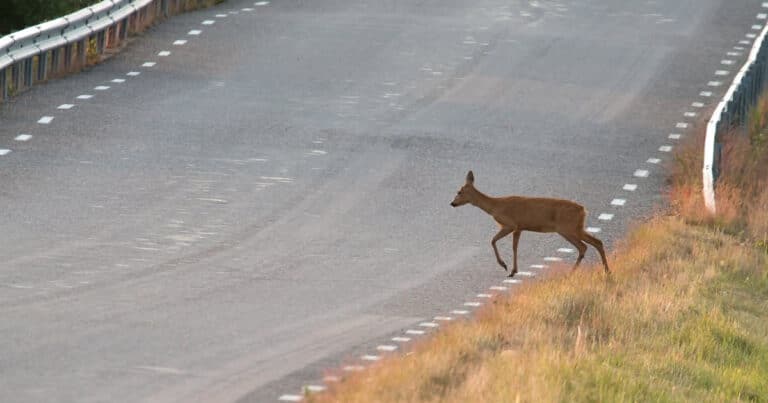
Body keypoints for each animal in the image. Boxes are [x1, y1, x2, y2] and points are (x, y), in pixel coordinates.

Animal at [450, 171, 610, 277]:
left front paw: (506, 266)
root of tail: (583, 210)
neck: (495, 207)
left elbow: (495, 241)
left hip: (566, 228)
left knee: (583, 246)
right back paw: (607, 271)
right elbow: (514, 246)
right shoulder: (520, 227)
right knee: (597, 242)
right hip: (577, 227)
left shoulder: (510, 224)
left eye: (459, 192)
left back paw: (572, 272)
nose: (452, 203)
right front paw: (513, 270)